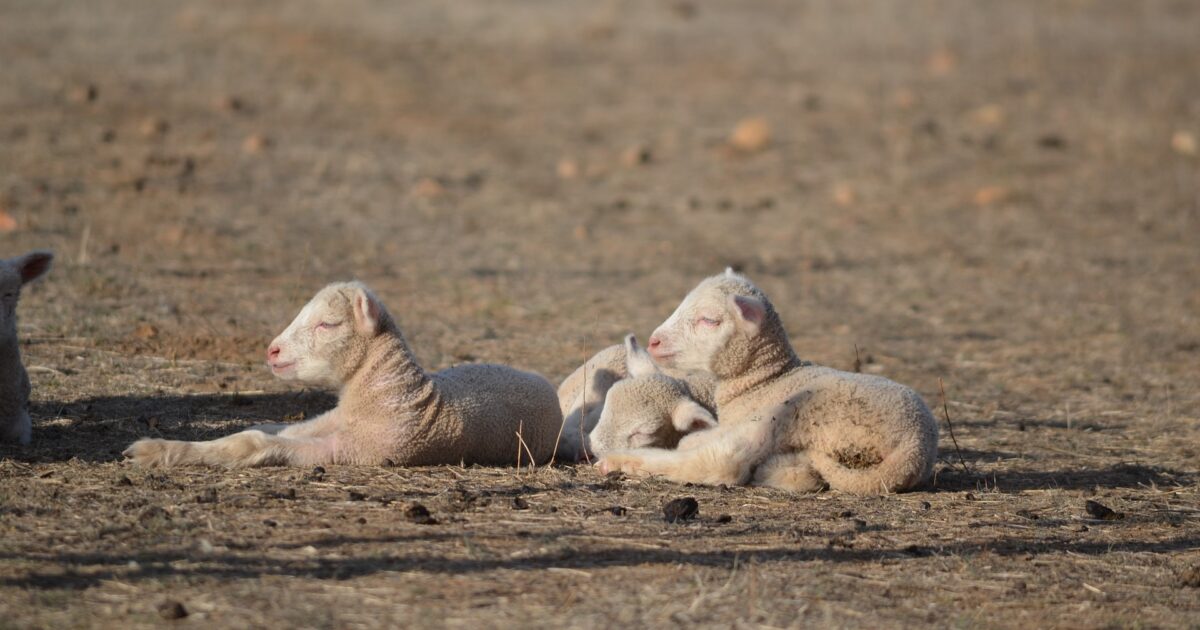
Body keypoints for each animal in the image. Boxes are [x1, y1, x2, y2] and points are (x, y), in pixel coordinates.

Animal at [123, 281, 563, 468]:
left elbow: (252, 442)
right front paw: (164, 448)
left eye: (328, 324)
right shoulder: (331, 422)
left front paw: (154, 453)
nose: (272, 350)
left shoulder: (354, 450)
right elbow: (259, 430)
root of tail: (545, 384)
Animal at [597, 269, 939, 494]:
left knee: (720, 463)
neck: (762, 381)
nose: (653, 341)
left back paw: (617, 462)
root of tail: (913, 448)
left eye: (709, 320)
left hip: (794, 416)